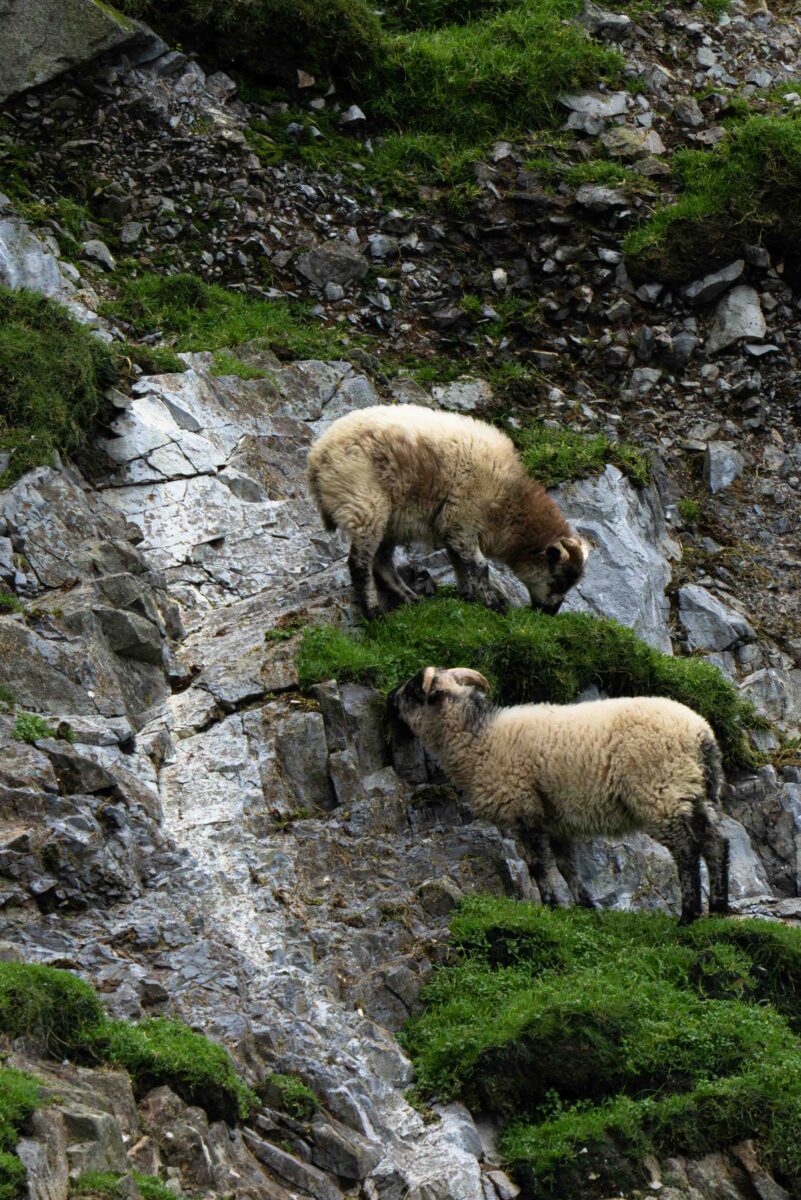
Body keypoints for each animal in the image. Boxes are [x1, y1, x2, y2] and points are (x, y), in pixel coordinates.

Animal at [307, 405, 589, 620]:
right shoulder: (463, 520)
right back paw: (374, 613)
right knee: (360, 563)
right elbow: (480, 565)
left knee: (382, 561)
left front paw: (468, 597)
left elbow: (459, 563)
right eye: (559, 578)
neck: (508, 500)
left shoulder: (453, 527)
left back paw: (410, 597)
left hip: (389, 519)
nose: (550, 613)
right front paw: (492, 604)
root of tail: (317, 456)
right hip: (365, 504)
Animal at [388, 667, 730, 924]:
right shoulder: (556, 819)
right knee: (716, 843)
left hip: (661, 792)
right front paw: (585, 905)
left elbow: (538, 865)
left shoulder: (522, 807)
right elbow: (568, 866)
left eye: (412, 689)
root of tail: (701, 733)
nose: (390, 698)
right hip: (698, 792)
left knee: (687, 849)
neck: (478, 738)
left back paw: (689, 915)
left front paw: (551, 906)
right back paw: (719, 908)